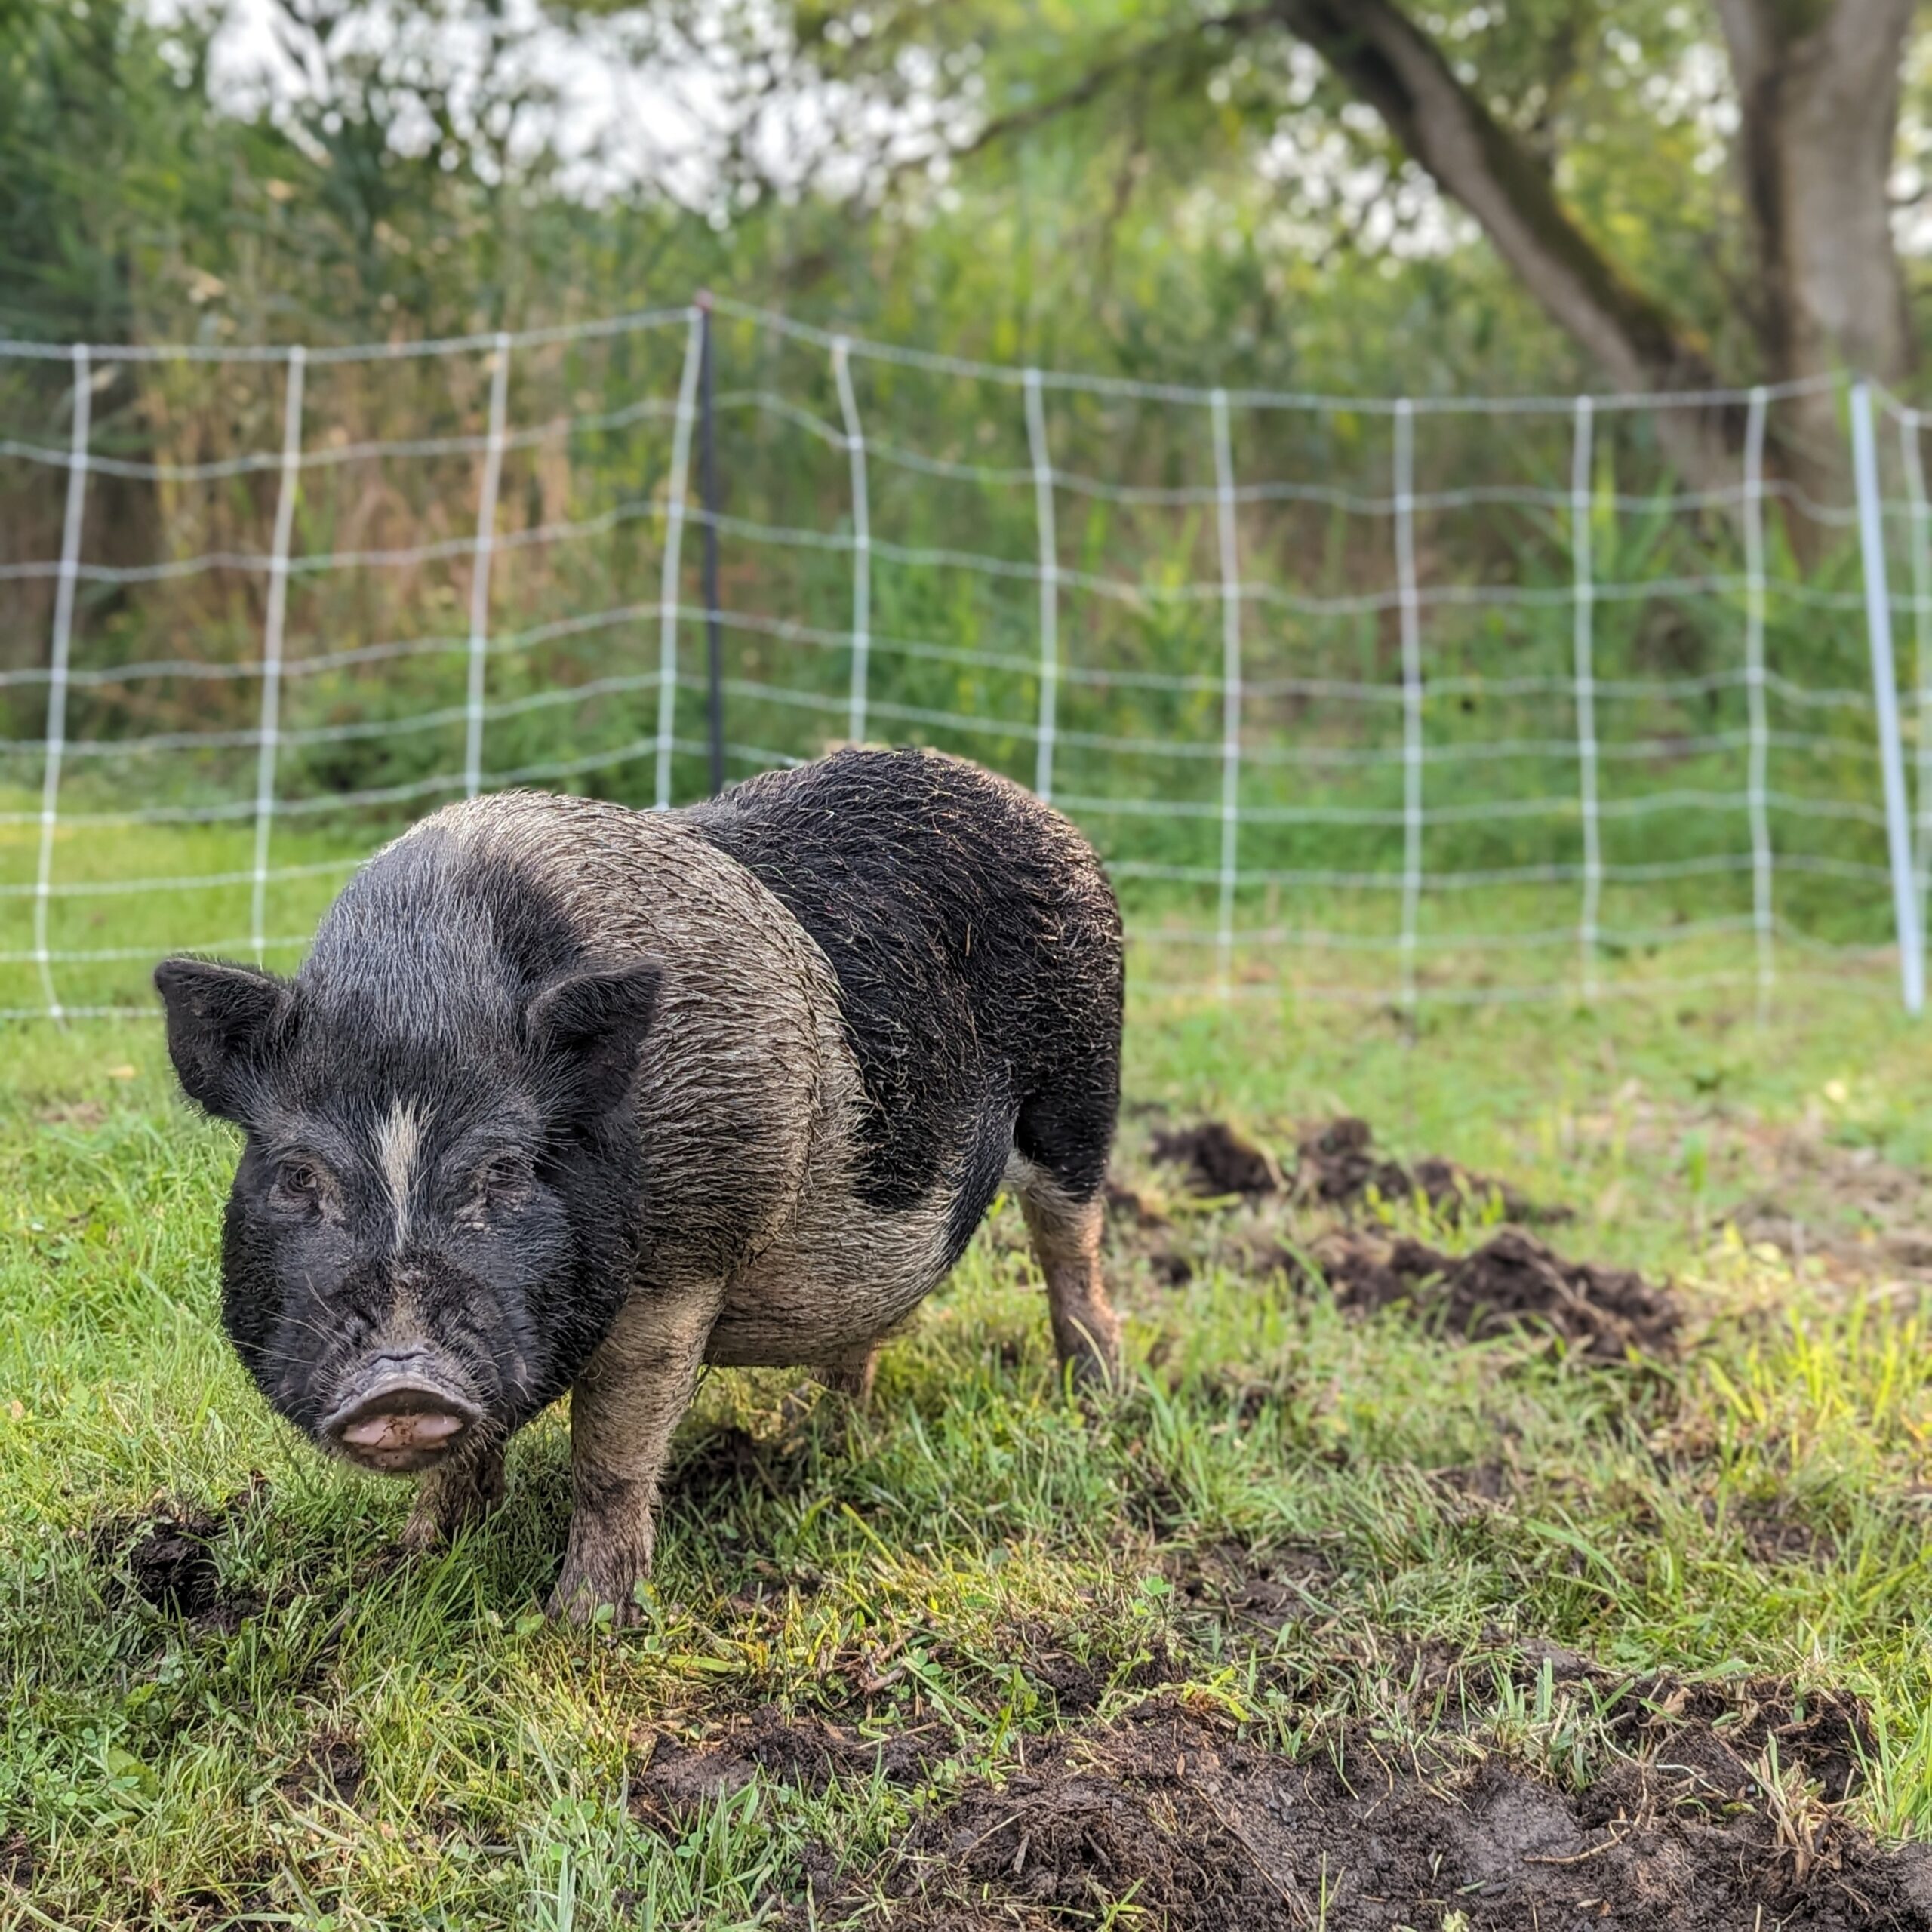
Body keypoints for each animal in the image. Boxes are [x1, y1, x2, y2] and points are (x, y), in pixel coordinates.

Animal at [154, 747, 1123, 1620]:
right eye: (298, 1175)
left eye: (506, 1169)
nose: (401, 1382)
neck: (420, 988)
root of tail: (1037, 807)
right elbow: (470, 1459)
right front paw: (407, 1567)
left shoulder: (687, 1257)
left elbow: (611, 1456)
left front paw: (581, 1626)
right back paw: (819, 1443)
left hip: (1080, 1090)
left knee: (1072, 1247)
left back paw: (1093, 1402)